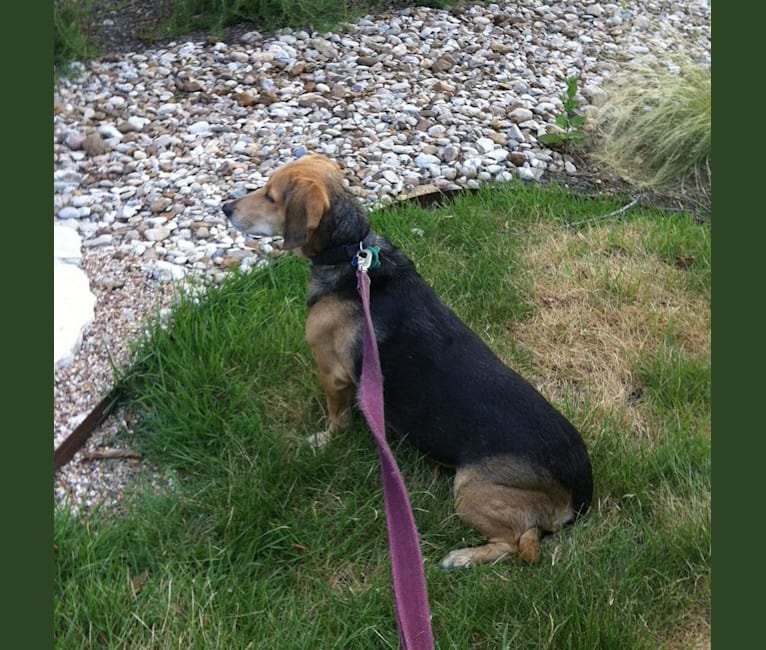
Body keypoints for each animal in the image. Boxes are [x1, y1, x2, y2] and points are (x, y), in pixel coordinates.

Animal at [222, 153, 592, 568]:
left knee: (521, 545)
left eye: (270, 196)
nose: (225, 208)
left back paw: (463, 557)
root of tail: (580, 494)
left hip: (469, 489)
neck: (351, 256)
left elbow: (336, 418)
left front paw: (323, 439)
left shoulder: (332, 372)